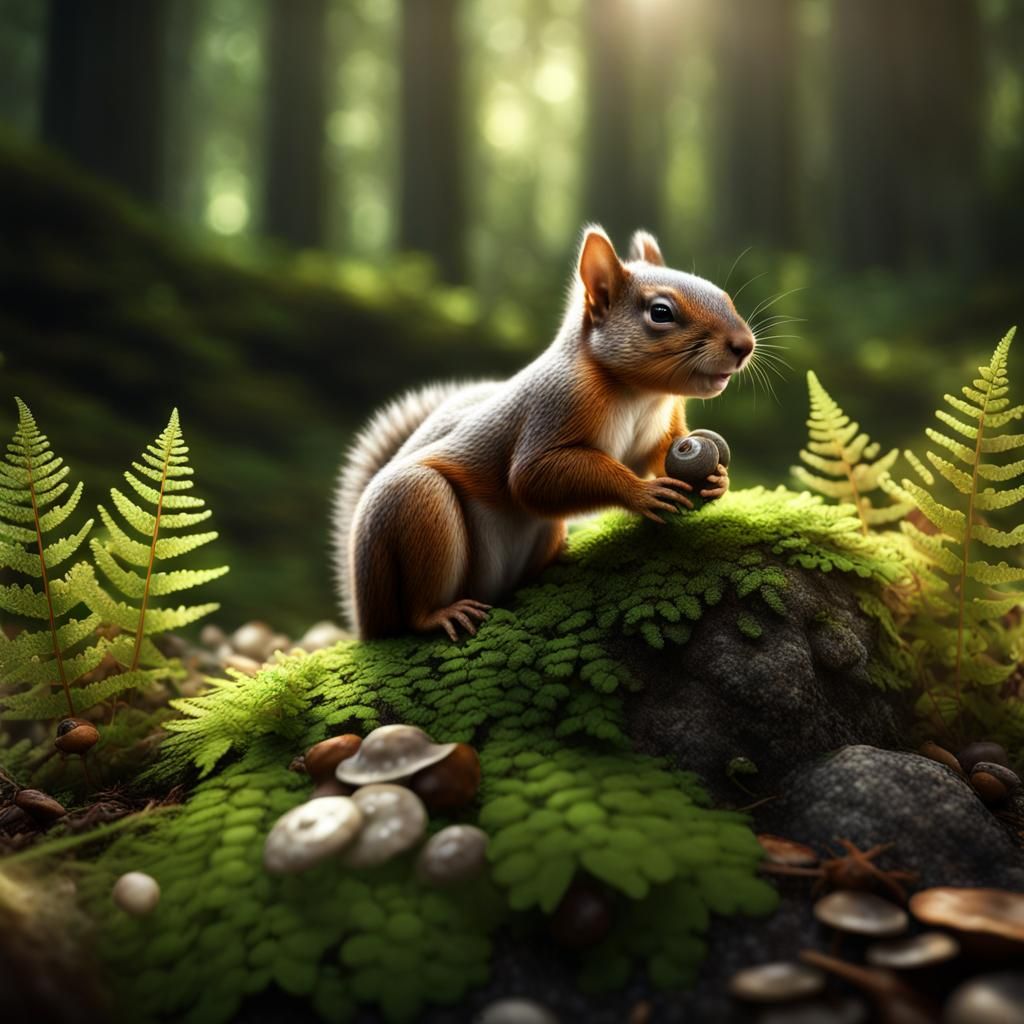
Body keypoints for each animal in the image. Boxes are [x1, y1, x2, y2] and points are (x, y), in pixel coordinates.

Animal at [332, 226, 756, 641]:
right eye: (661, 312)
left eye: (724, 295)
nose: (745, 345)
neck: (640, 393)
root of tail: (363, 610)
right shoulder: (553, 405)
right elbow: (532, 477)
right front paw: (642, 492)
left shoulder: (661, 427)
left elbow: (663, 451)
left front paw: (718, 479)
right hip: (417, 507)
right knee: (414, 608)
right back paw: (439, 614)